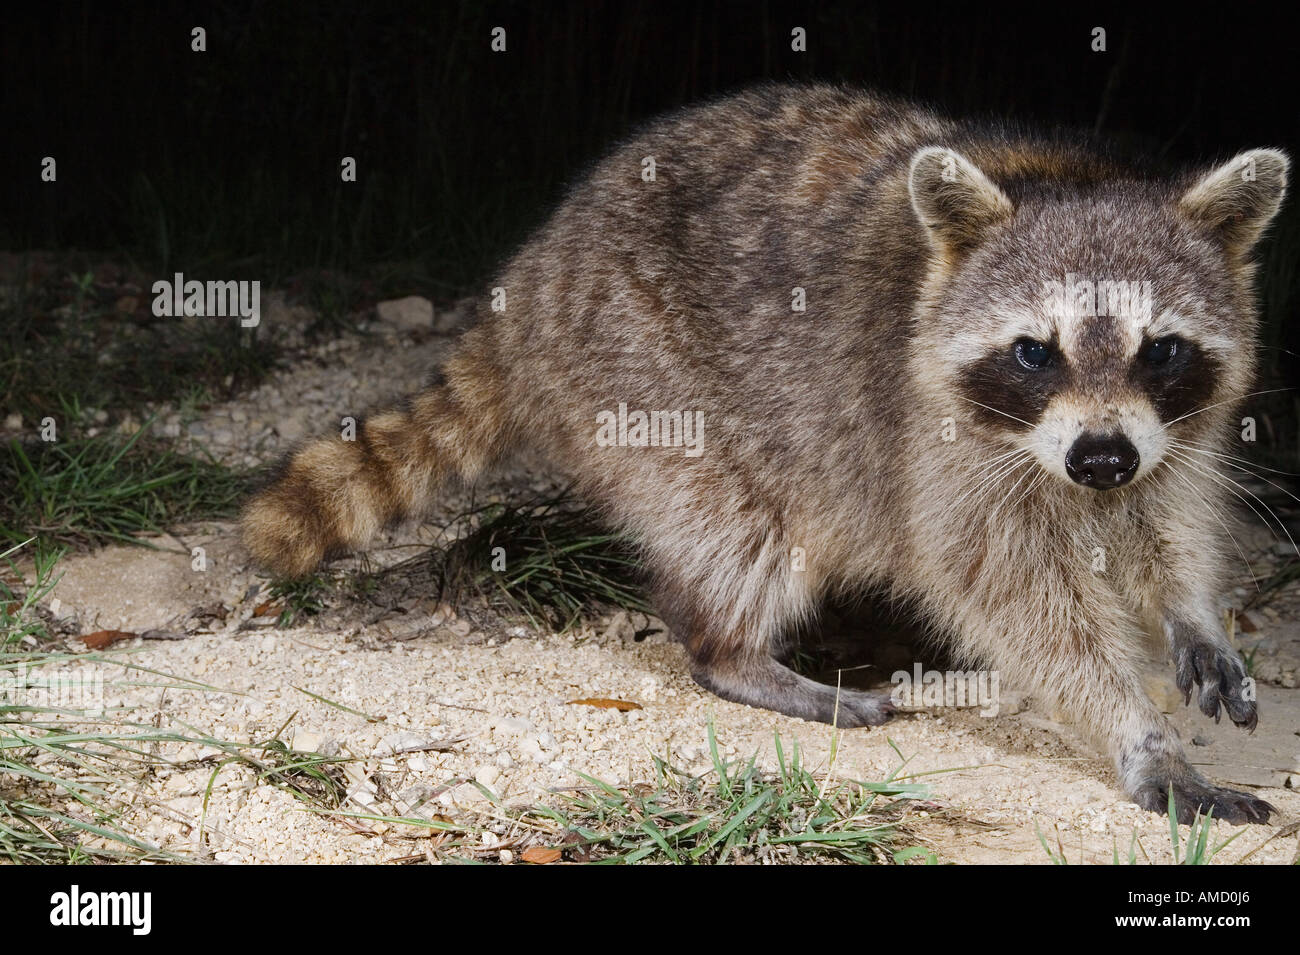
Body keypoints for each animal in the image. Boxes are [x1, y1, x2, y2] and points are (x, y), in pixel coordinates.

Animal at [243, 84, 1289, 824]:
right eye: (1036, 351)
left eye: (1161, 350)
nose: (1100, 465)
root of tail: (528, 286)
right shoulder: (942, 447)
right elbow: (1016, 597)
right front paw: (1140, 735)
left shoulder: (1173, 434)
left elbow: (1172, 518)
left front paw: (1193, 613)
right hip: (642, 371)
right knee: (738, 533)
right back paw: (735, 651)